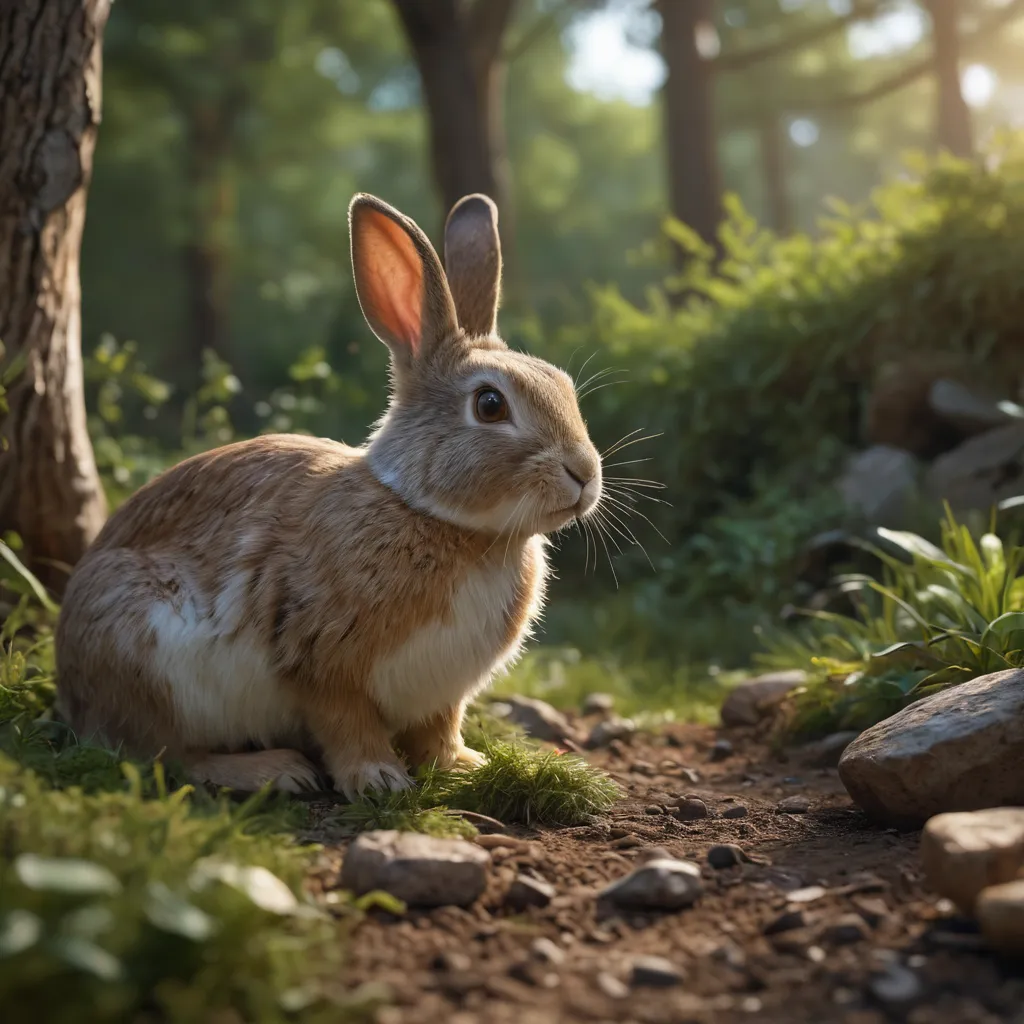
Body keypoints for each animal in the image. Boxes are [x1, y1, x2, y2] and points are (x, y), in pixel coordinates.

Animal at [55, 192, 603, 799]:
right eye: (489, 405)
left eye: (563, 385)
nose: (584, 472)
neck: (445, 521)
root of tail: (71, 686)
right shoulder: (321, 662)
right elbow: (346, 724)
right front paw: (378, 779)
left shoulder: (443, 691)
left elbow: (440, 727)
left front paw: (461, 765)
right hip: (148, 658)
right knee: (166, 753)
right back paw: (272, 770)